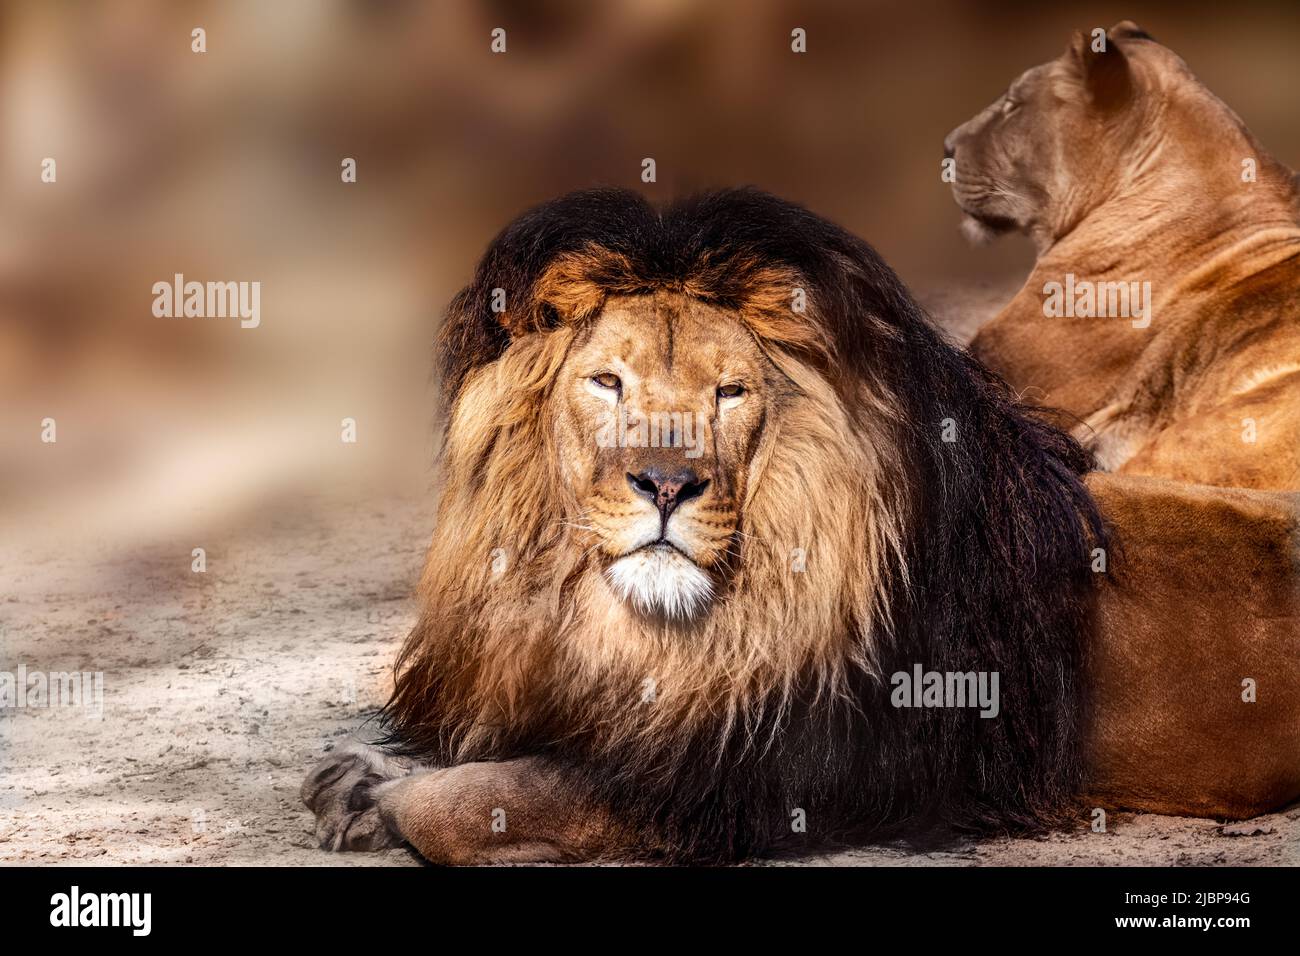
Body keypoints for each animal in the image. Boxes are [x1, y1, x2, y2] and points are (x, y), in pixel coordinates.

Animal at [302, 188, 1300, 864]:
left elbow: (484, 803)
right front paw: (368, 776)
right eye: (608, 382)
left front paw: (385, 801)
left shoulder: (749, 783)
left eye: (730, 392)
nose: (668, 484)